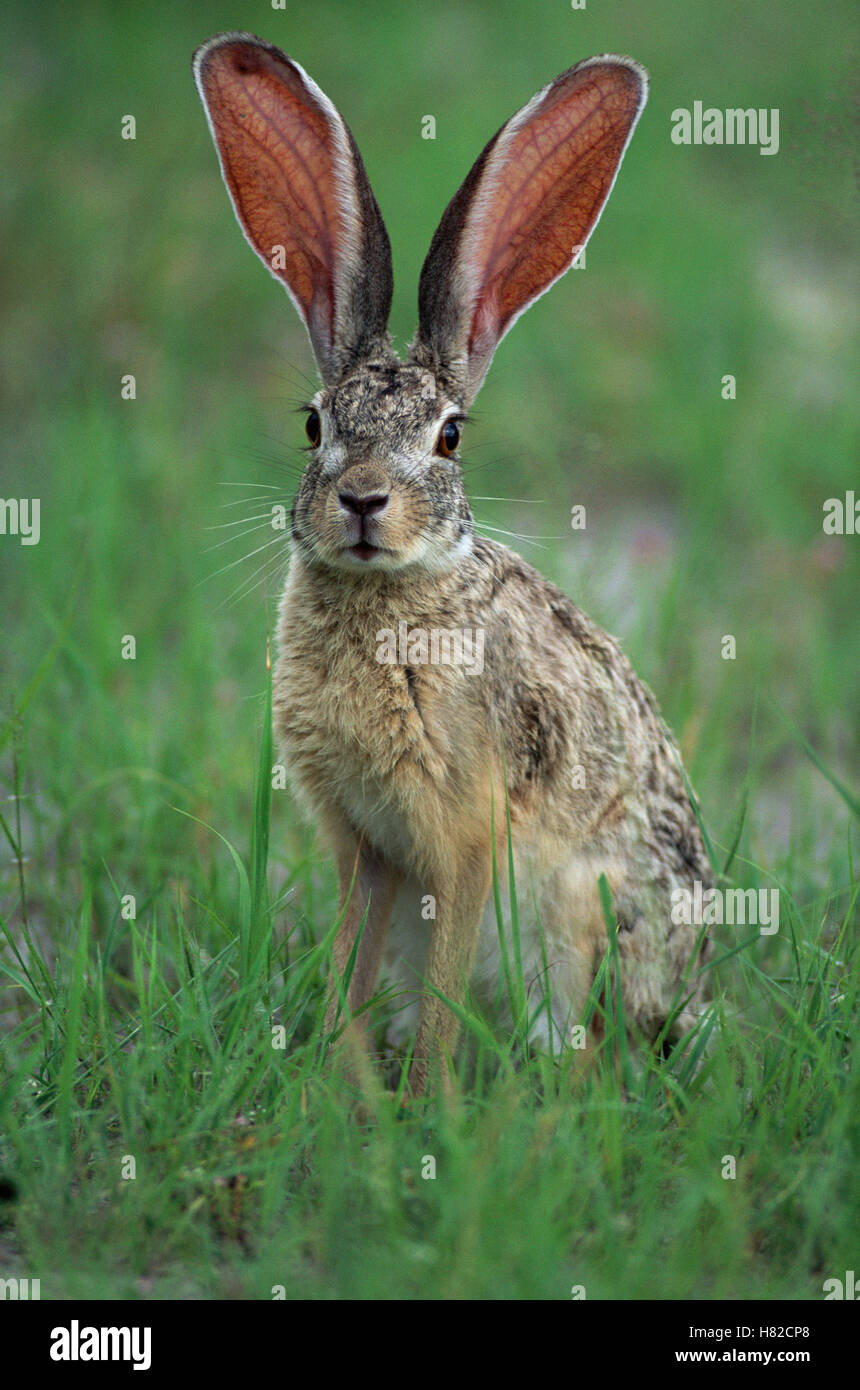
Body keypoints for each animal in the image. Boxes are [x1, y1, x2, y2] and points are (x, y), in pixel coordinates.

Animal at [193, 32, 713, 1094]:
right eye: (315, 424)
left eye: (450, 437)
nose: (362, 502)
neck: (388, 596)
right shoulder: (367, 843)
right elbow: (352, 960)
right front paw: (341, 1083)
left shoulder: (470, 838)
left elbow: (442, 975)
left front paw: (424, 1099)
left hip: (581, 917)